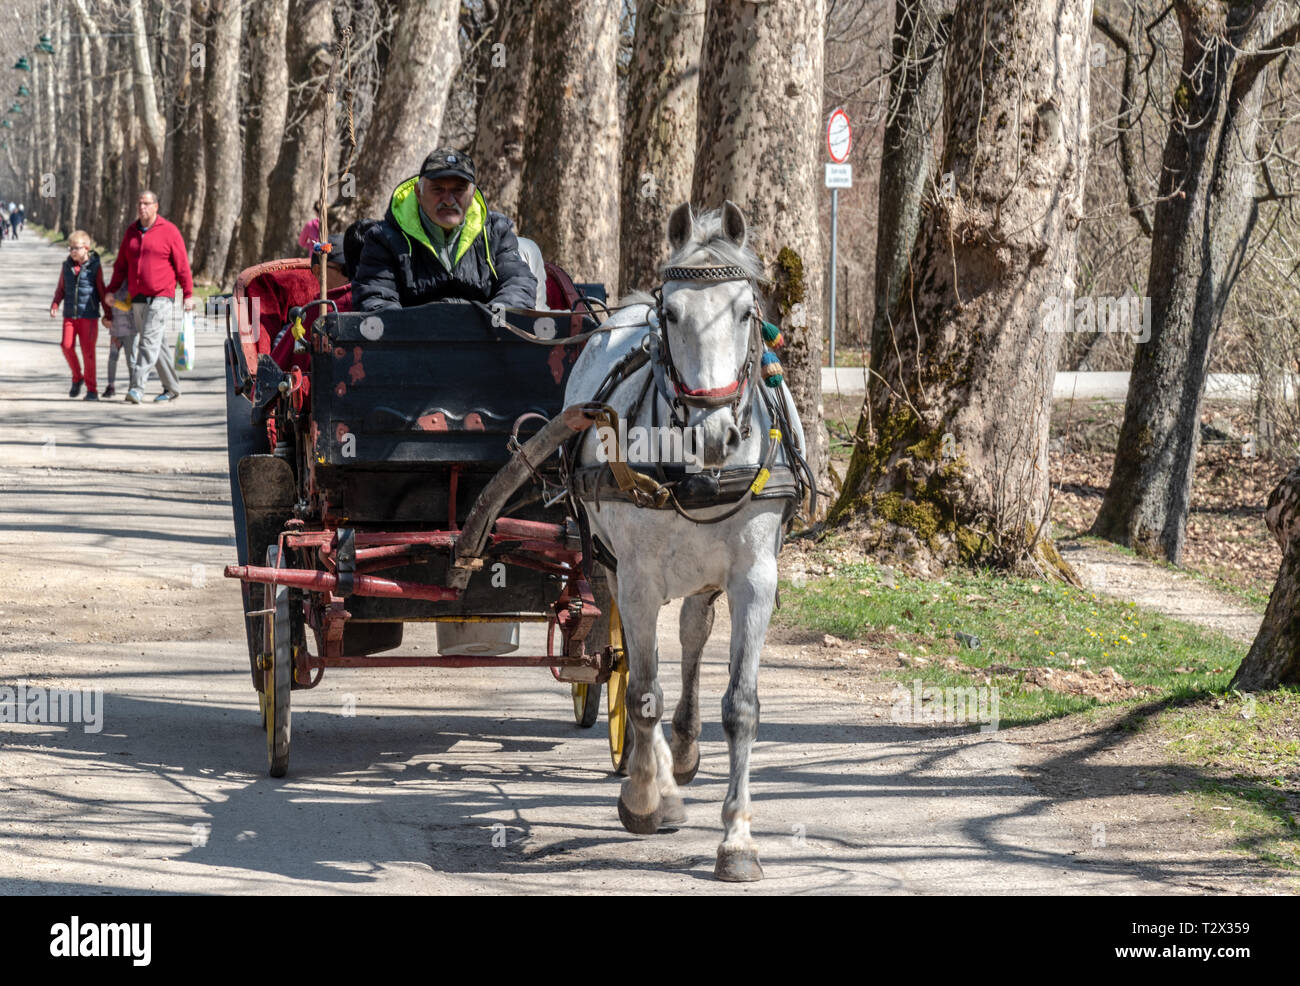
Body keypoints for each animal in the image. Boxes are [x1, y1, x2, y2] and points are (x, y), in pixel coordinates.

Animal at [563, 201, 808, 882]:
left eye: (746, 312)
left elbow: (742, 706)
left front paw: (738, 841)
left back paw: (687, 743)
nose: (716, 434)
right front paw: (648, 799)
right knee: (631, 659)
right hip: (608, 559)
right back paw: (657, 774)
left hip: (705, 571)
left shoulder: (755, 576)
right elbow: (642, 690)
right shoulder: (638, 577)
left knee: (695, 632)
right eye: (670, 313)